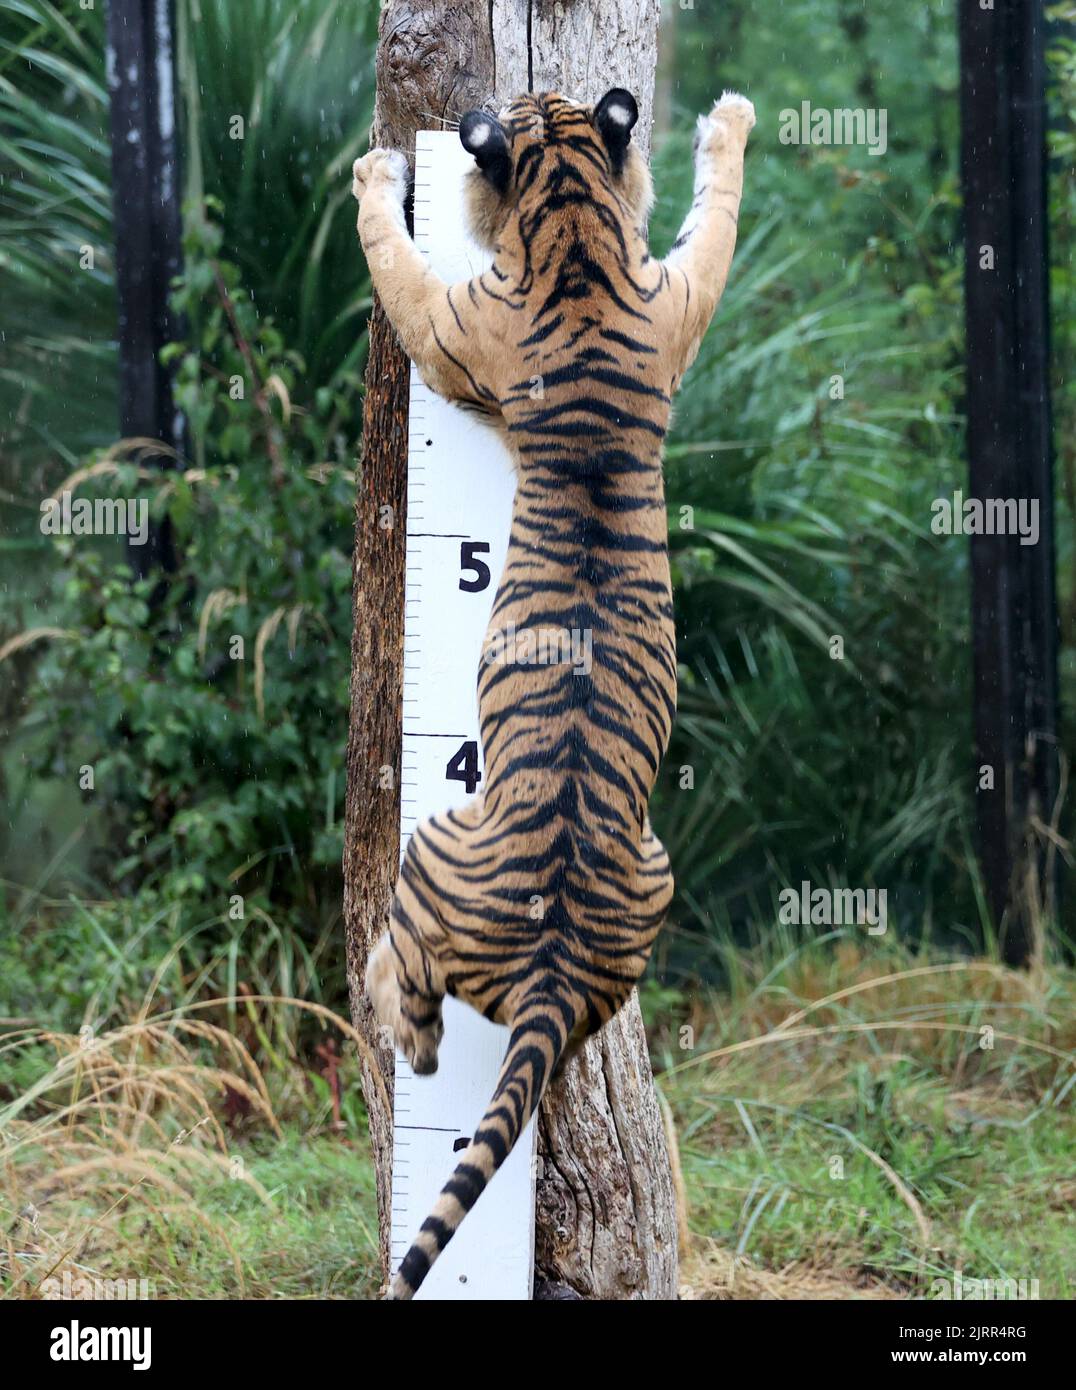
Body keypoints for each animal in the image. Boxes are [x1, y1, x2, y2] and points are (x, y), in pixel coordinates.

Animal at [352, 86, 755, 1300]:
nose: (502, 105)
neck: (573, 228)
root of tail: (550, 967)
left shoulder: (448, 327)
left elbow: (393, 259)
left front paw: (375, 177)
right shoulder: (683, 298)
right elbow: (714, 220)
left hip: (435, 837)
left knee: (400, 973)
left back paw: (399, 1025)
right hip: (651, 877)